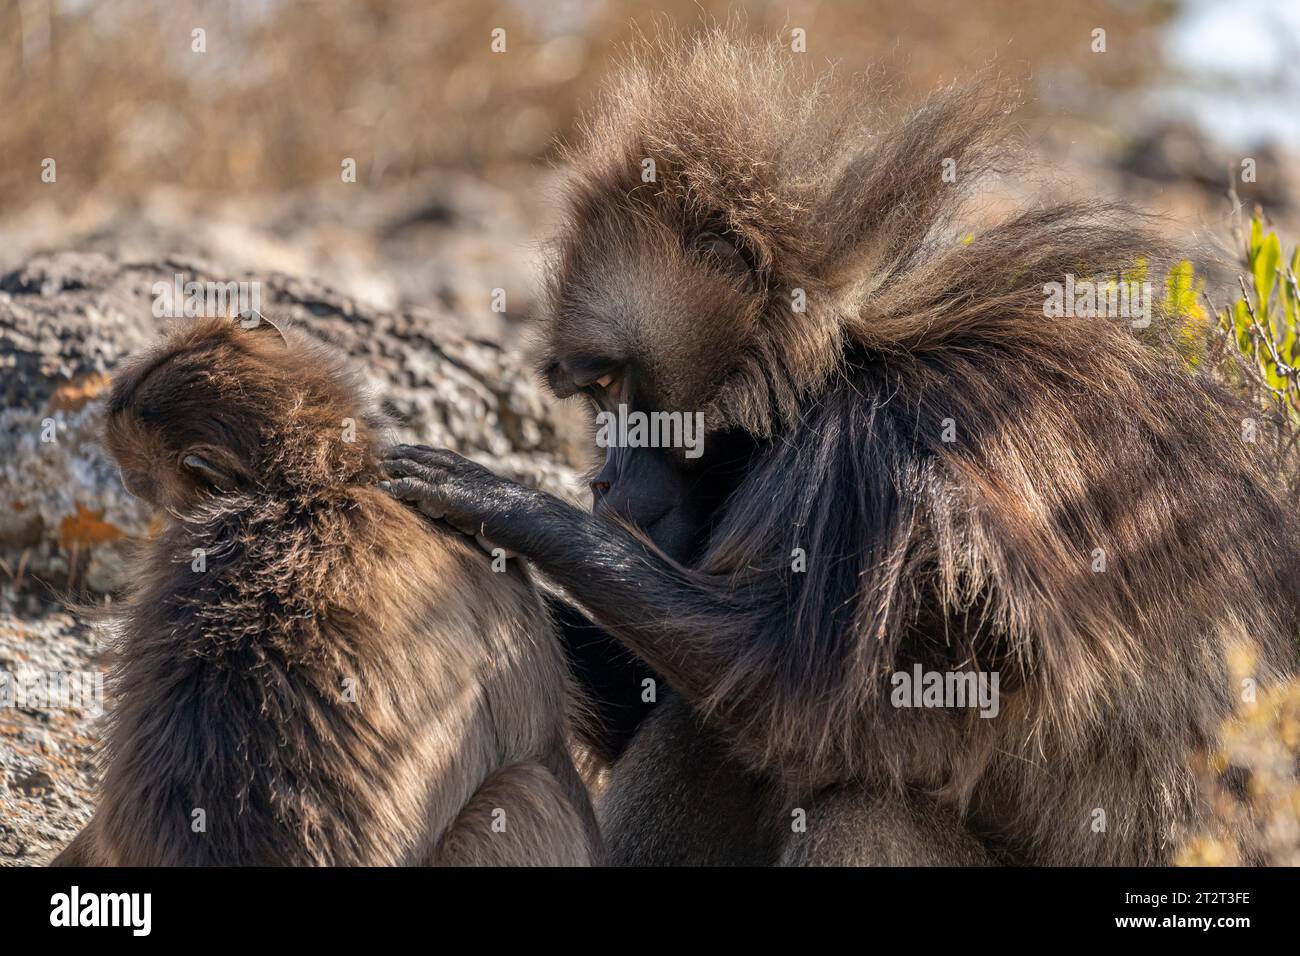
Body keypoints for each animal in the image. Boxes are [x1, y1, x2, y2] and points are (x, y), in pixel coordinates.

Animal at [382, 32, 1300, 866]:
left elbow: (797, 696)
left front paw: (500, 503)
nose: (600, 482)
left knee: (830, 790)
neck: (828, 374)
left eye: (616, 390)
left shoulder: (888, 462)